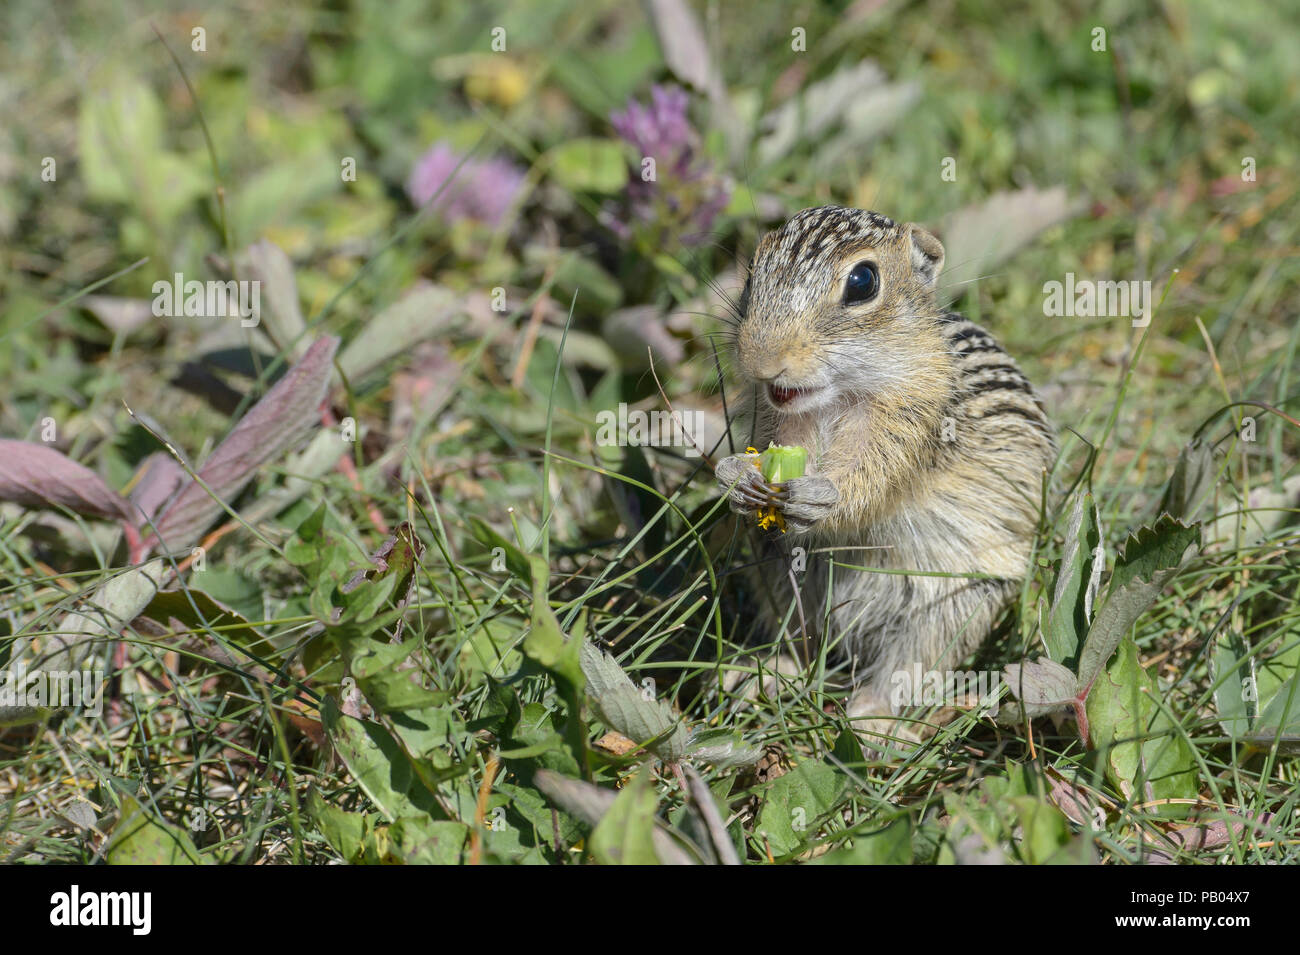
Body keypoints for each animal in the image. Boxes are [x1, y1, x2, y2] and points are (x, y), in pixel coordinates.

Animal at [714, 205, 1057, 742]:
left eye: (862, 282)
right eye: (752, 271)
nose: (762, 362)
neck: (831, 401)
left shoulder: (916, 427)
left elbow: (871, 480)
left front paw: (822, 496)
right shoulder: (772, 420)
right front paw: (734, 475)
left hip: (952, 605)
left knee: (909, 666)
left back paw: (873, 720)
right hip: (776, 577)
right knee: (797, 638)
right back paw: (763, 676)